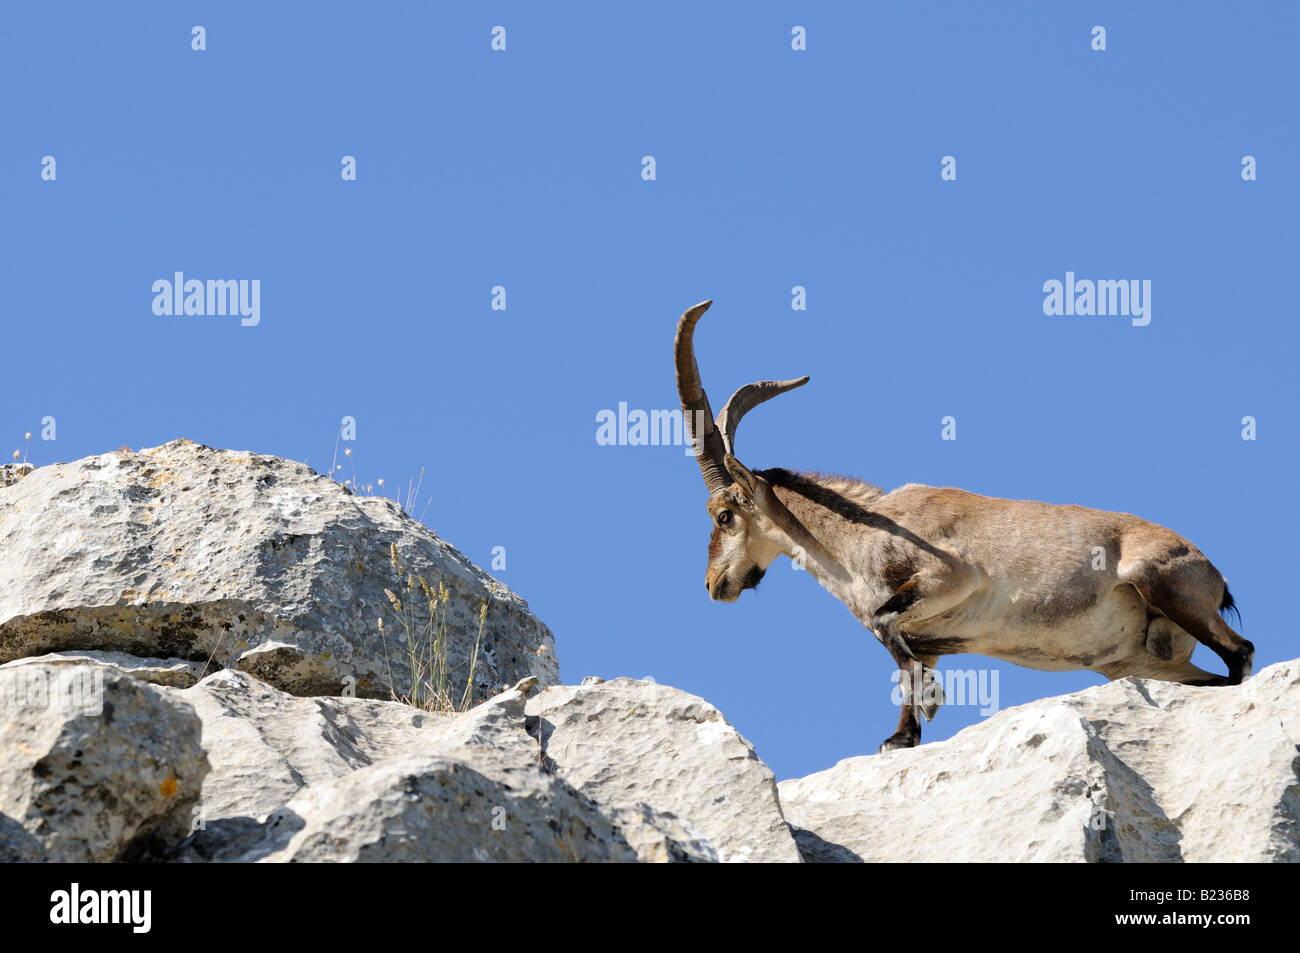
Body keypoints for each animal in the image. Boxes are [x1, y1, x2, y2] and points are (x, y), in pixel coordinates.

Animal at [674, 300, 1254, 751]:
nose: (714, 584)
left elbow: (889, 630)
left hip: (1161, 582)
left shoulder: (949, 577)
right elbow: (903, 662)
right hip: (1144, 659)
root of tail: (1212, 573)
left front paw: (929, 708)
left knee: (1241, 654)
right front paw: (901, 737)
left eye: (724, 515)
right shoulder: (924, 639)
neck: (859, 535)